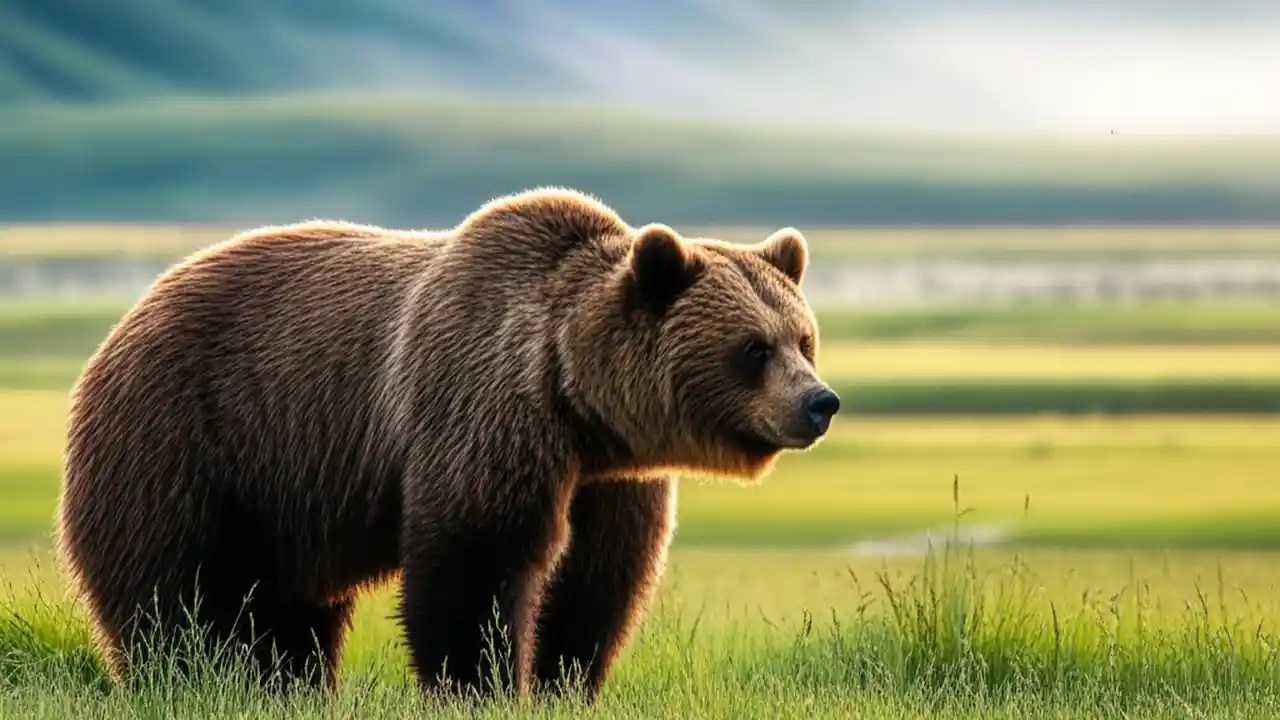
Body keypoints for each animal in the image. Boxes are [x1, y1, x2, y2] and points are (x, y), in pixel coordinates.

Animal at [56, 188, 839, 698]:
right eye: (753, 349)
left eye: (804, 339)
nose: (820, 402)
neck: (571, 397)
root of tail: (122, 324)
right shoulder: (478, 403)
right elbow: (475, 561)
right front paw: (480, 683)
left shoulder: (608, 481)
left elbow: (597, 580)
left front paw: (564, 679)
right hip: (188, 441)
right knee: (177, 594)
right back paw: (190, 680)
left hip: (281, 505)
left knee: (288, 612)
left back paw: (289, 686)